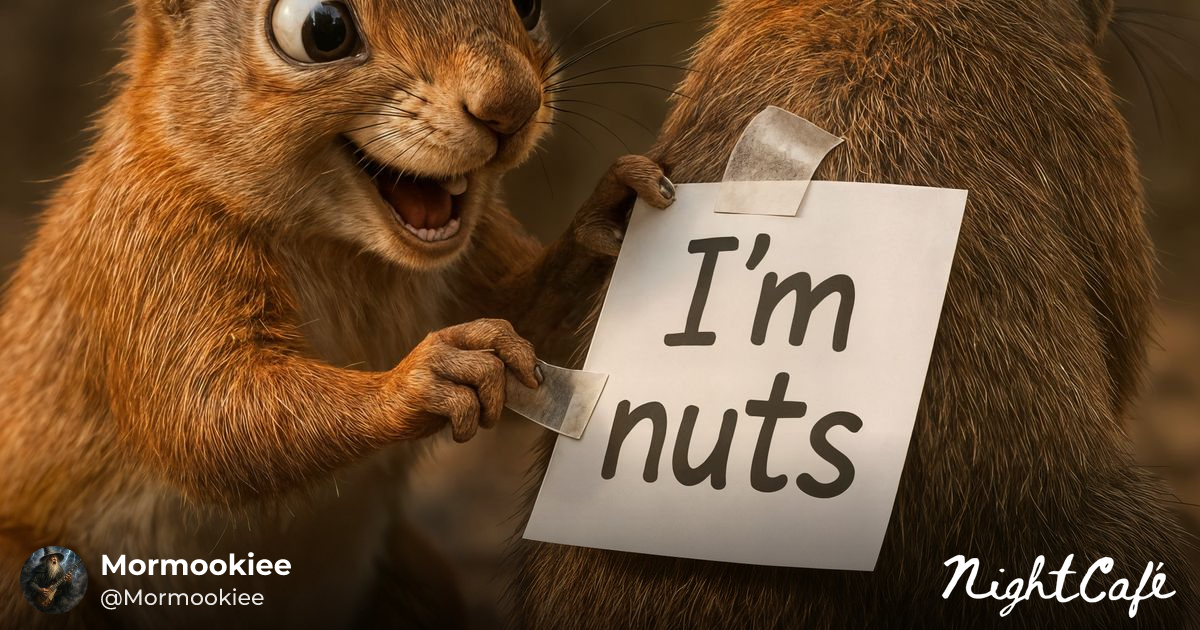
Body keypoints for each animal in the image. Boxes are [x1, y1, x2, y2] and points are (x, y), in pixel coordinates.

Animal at [0, 0, 672, 628]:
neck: (349, 254)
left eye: (528, 7)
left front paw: (606, 214)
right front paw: (428, 377)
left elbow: (534, 320)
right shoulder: (147, 249)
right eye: (320, 29)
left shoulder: (472, 258)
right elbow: (204, 411)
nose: (513, 106)